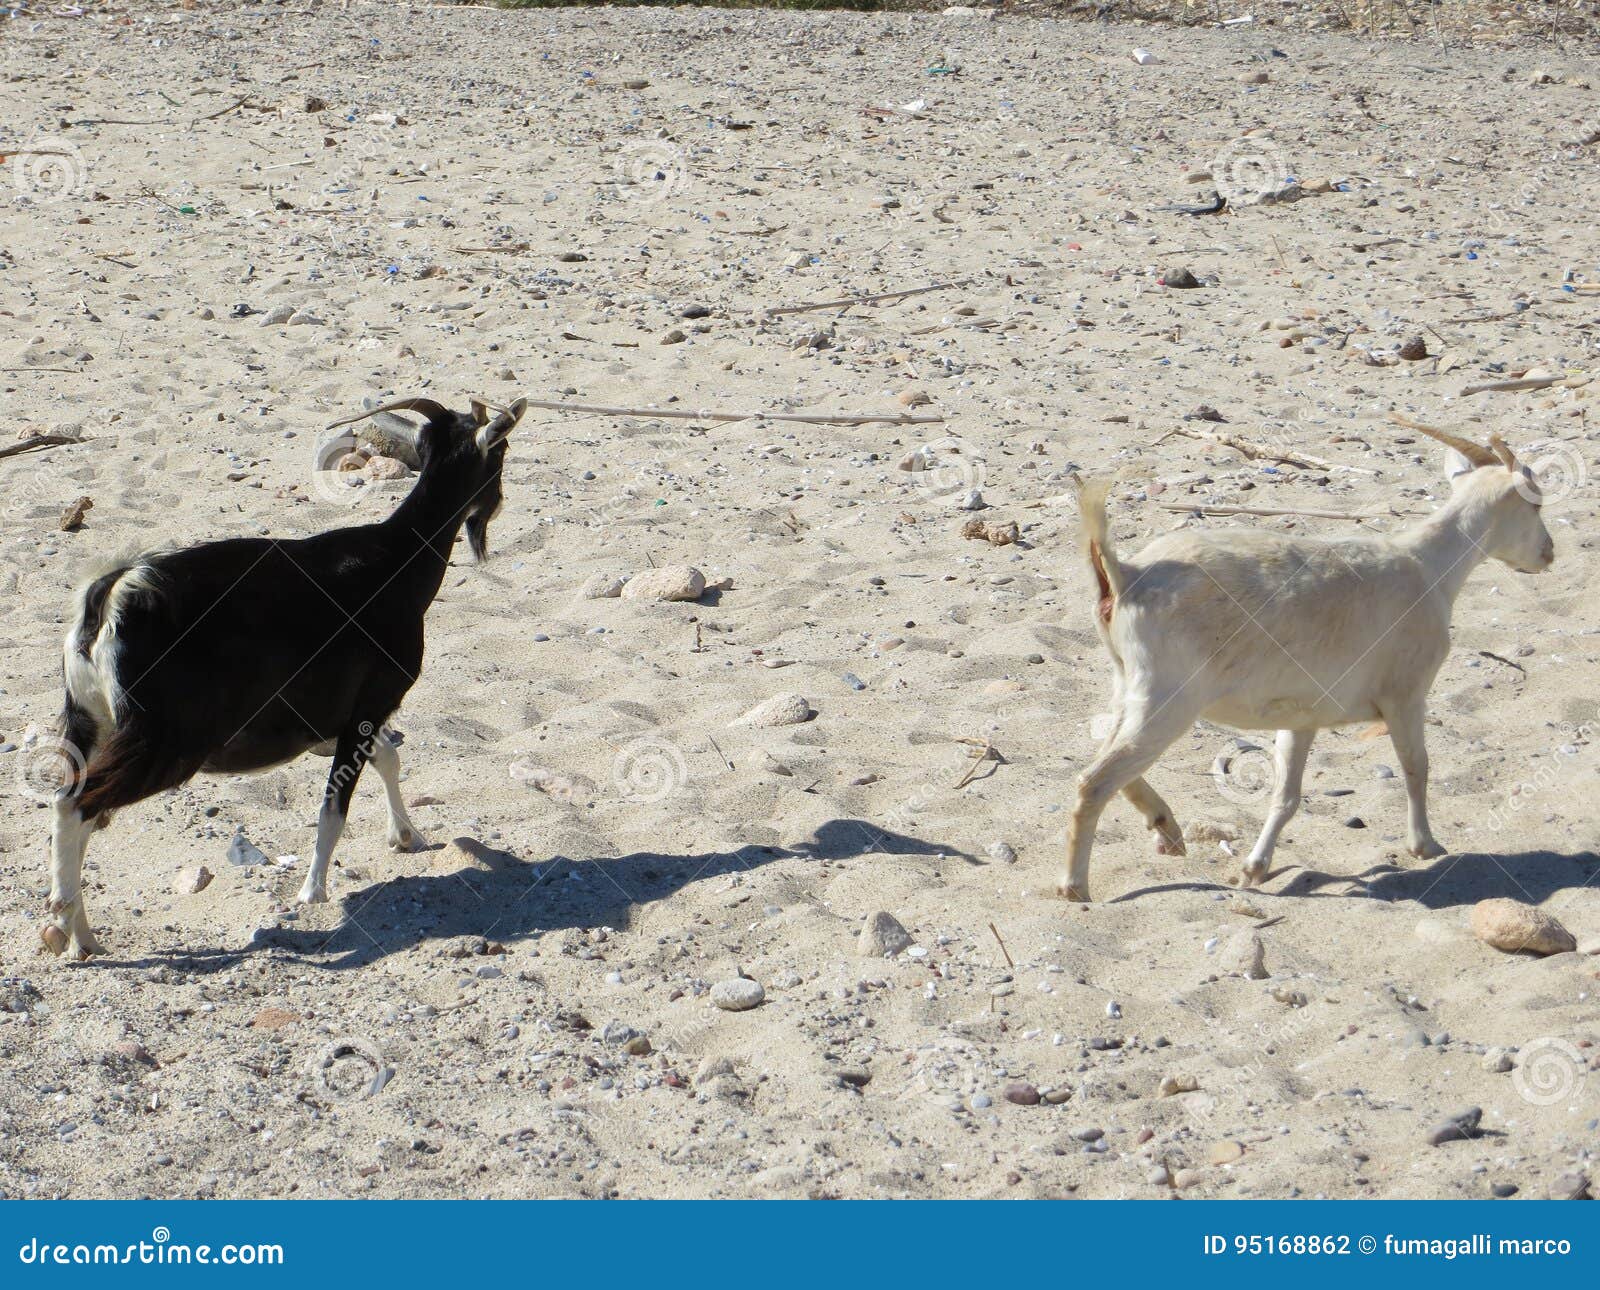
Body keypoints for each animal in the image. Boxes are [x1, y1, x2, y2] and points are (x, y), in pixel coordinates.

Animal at [40, 396, 528, 958]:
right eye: (502, 450)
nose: (498, 504)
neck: (395, 560)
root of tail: (110, 596)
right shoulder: (368, 705)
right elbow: (335, 804)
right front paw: (313, 890)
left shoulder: (345, 714)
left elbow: (388, 756)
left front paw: (405, 836)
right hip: (162, 744)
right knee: (79, 805)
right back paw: (71, 923)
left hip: (91, 722)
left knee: (71, 799)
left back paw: (80, 935)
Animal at [1062, 420, 1554, 902]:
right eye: (1536, 504)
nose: (1549, 553)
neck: (1428, 567)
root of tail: (1126, 575)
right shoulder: (1406, 692)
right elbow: (1417, 766)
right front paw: (1425, 846)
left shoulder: (1302, 716)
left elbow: (1286, 796)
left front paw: (1254, 870)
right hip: (1169, 696)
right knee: (1095, 780)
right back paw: (1076, 887)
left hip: (1130, 684)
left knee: (1108, 758)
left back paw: (1167, 828)